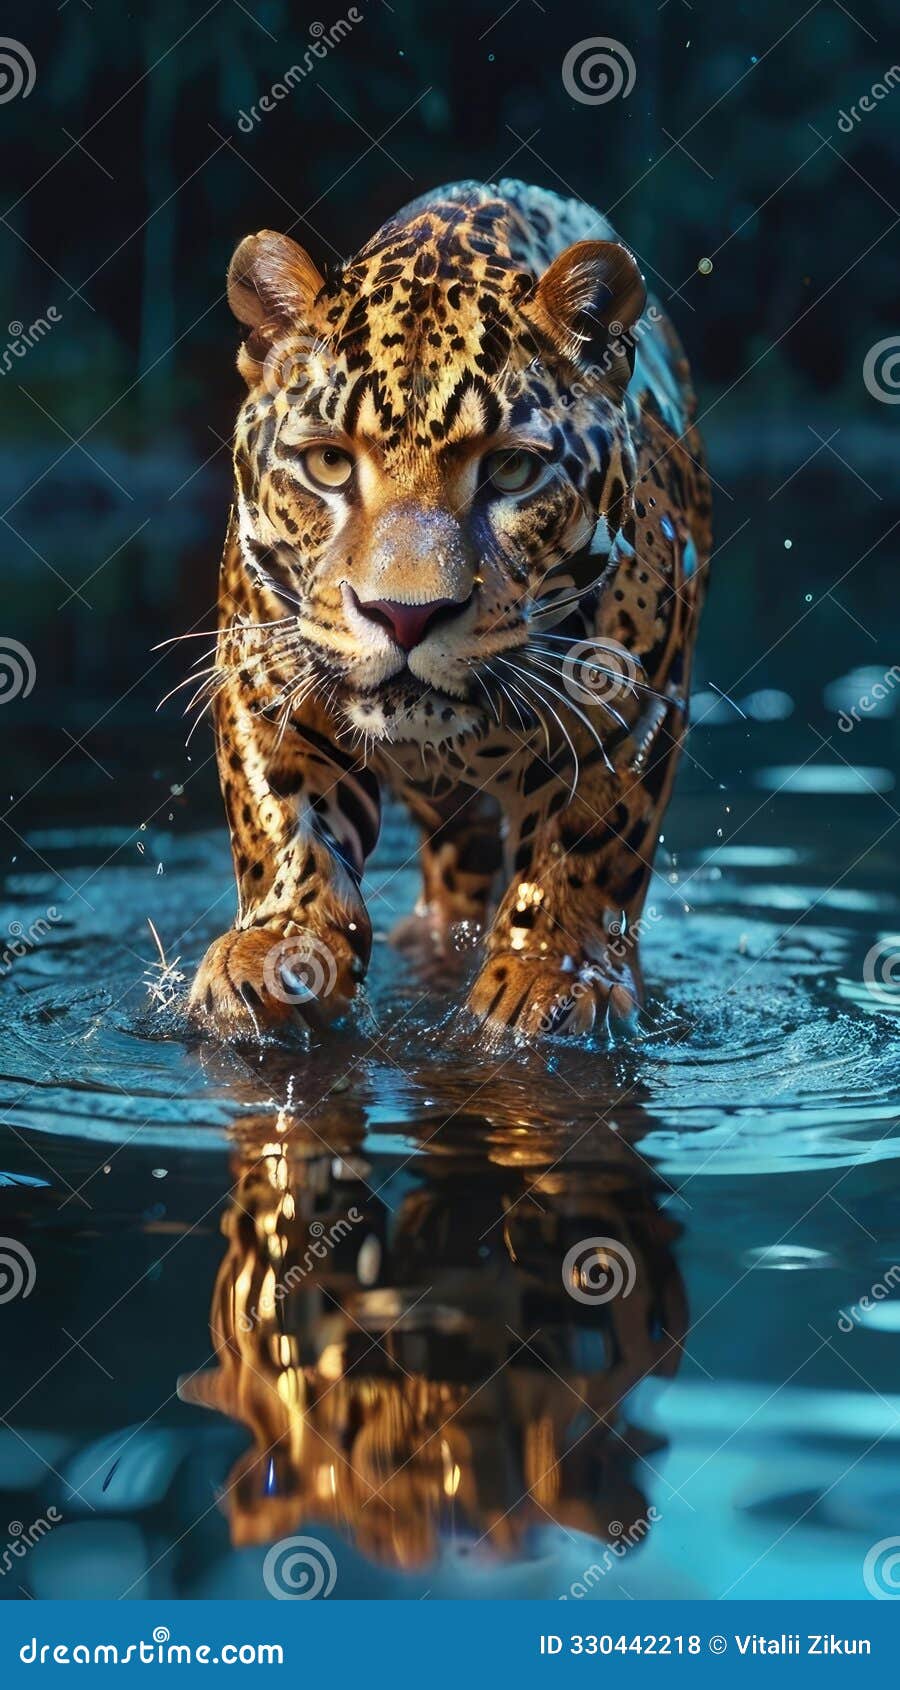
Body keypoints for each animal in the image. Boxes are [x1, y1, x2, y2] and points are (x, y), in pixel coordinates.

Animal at [186, 178, 712, 1043]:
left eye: (511, 472)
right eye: (328, 463)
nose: (404, 616)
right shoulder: (264, 670)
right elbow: (281, 813)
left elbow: (592, 836)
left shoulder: (635, 701)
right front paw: (277, 946)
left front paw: (549, 973)